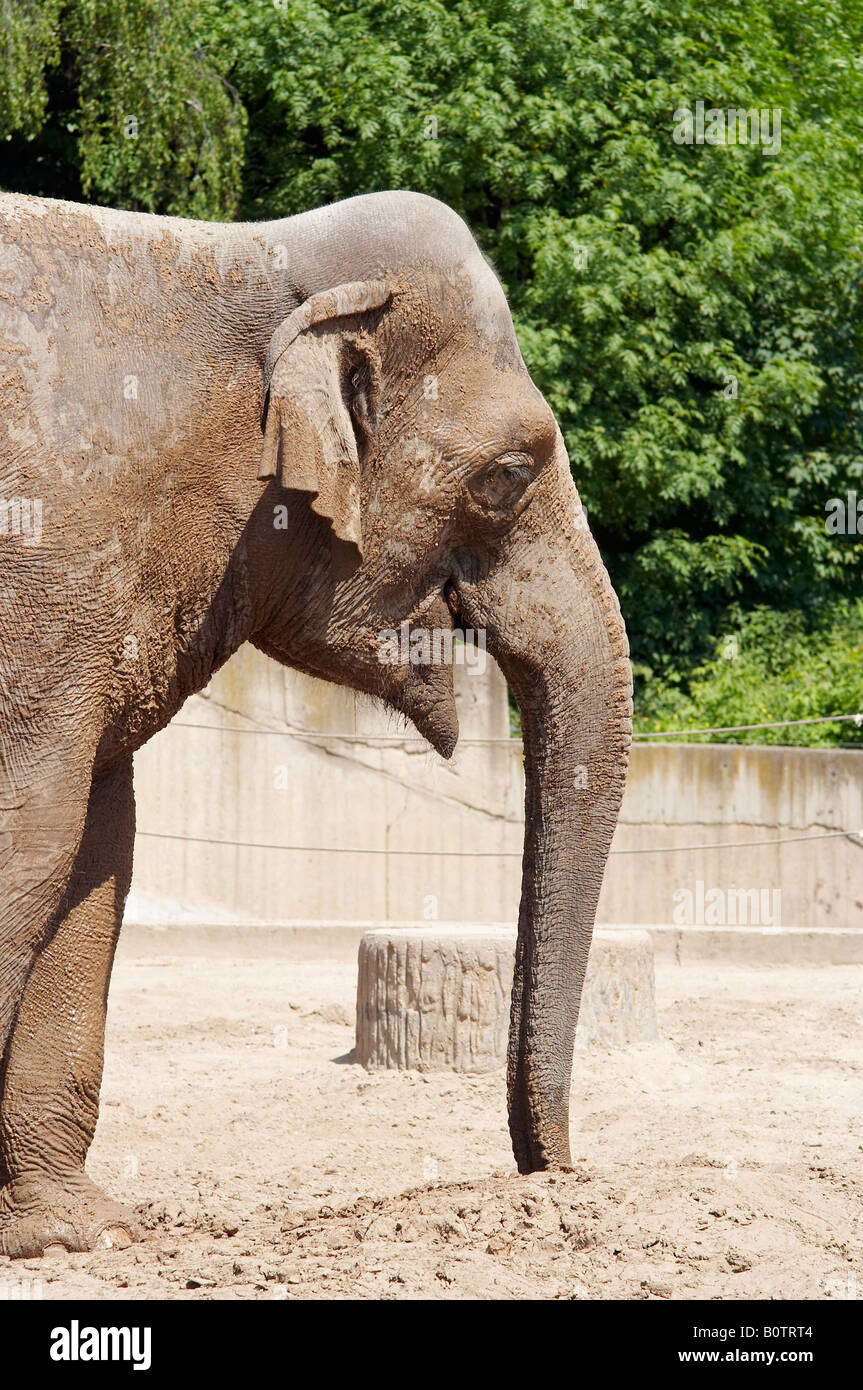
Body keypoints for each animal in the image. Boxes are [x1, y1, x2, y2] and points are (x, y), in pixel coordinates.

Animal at [0, 188, 631, 1258]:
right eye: (508, 474)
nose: (551, 1172)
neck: (253, 259)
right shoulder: (47, 564)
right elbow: (32, 837)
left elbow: (93, 841)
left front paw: (76, 1233)